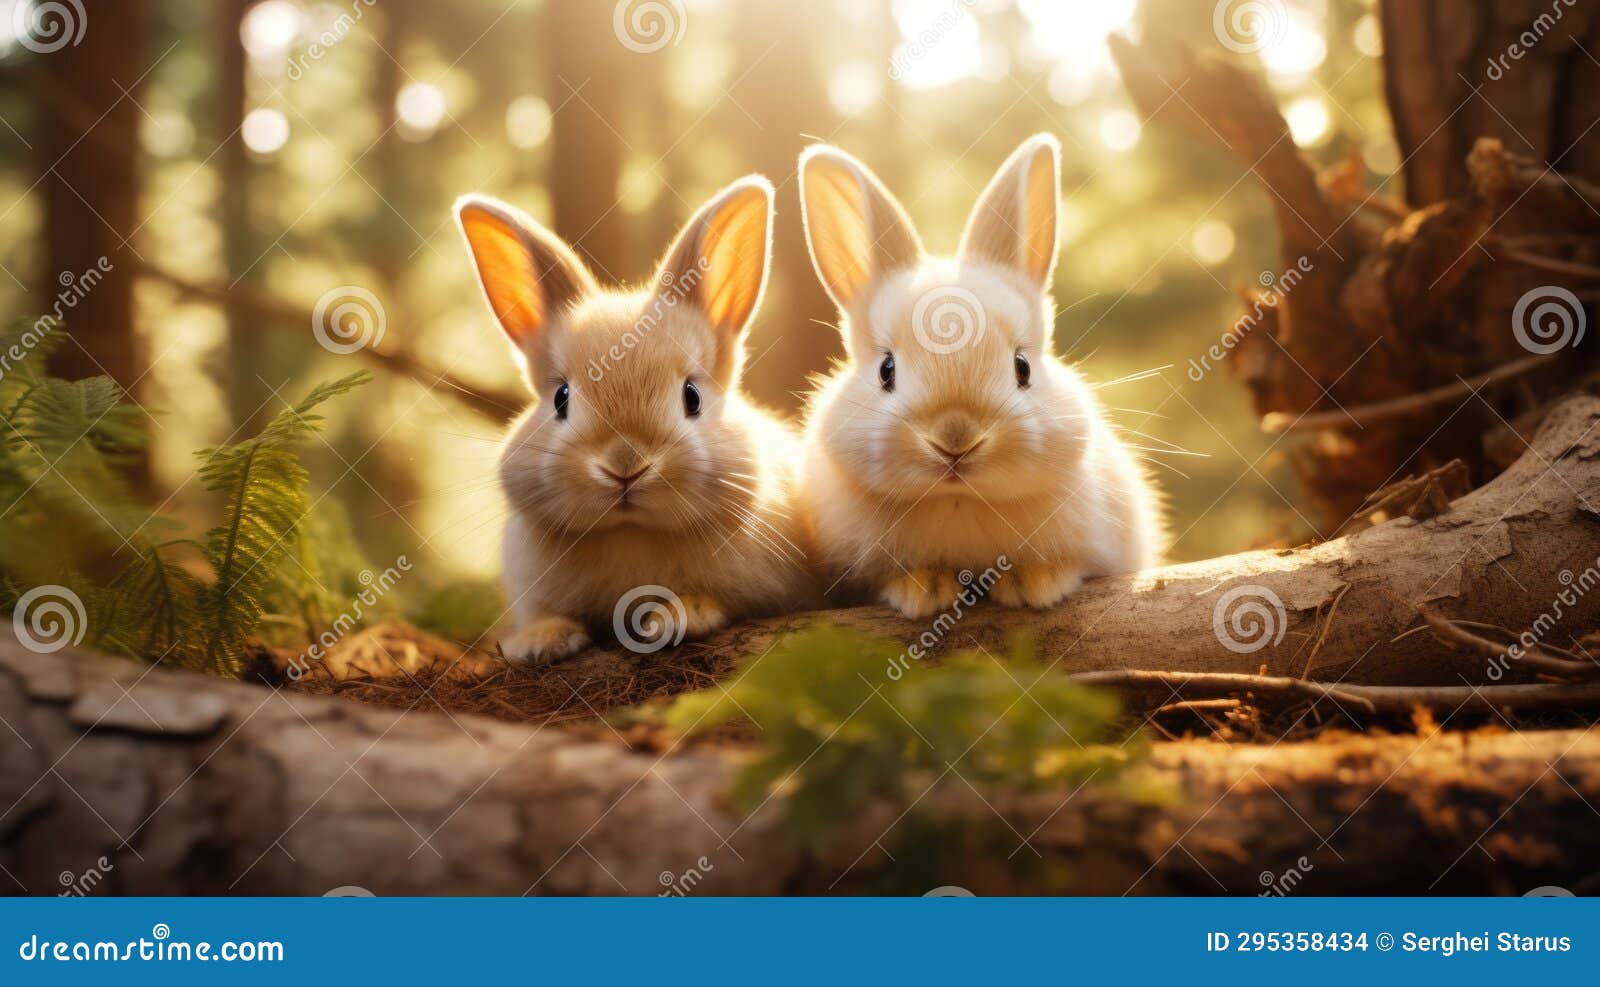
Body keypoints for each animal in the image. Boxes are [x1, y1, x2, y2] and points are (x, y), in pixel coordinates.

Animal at [455, 176, 817, 663]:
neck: (632, 533)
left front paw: (679, 615)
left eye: (692, 396)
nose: (624, 466)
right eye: (561, 399)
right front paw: (541, 641)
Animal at [794, 134, 1163, 620]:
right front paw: (925, 589)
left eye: (1022, 367)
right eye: (886, 370)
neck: (960, 499)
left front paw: (1032, 582)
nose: (955, 438)